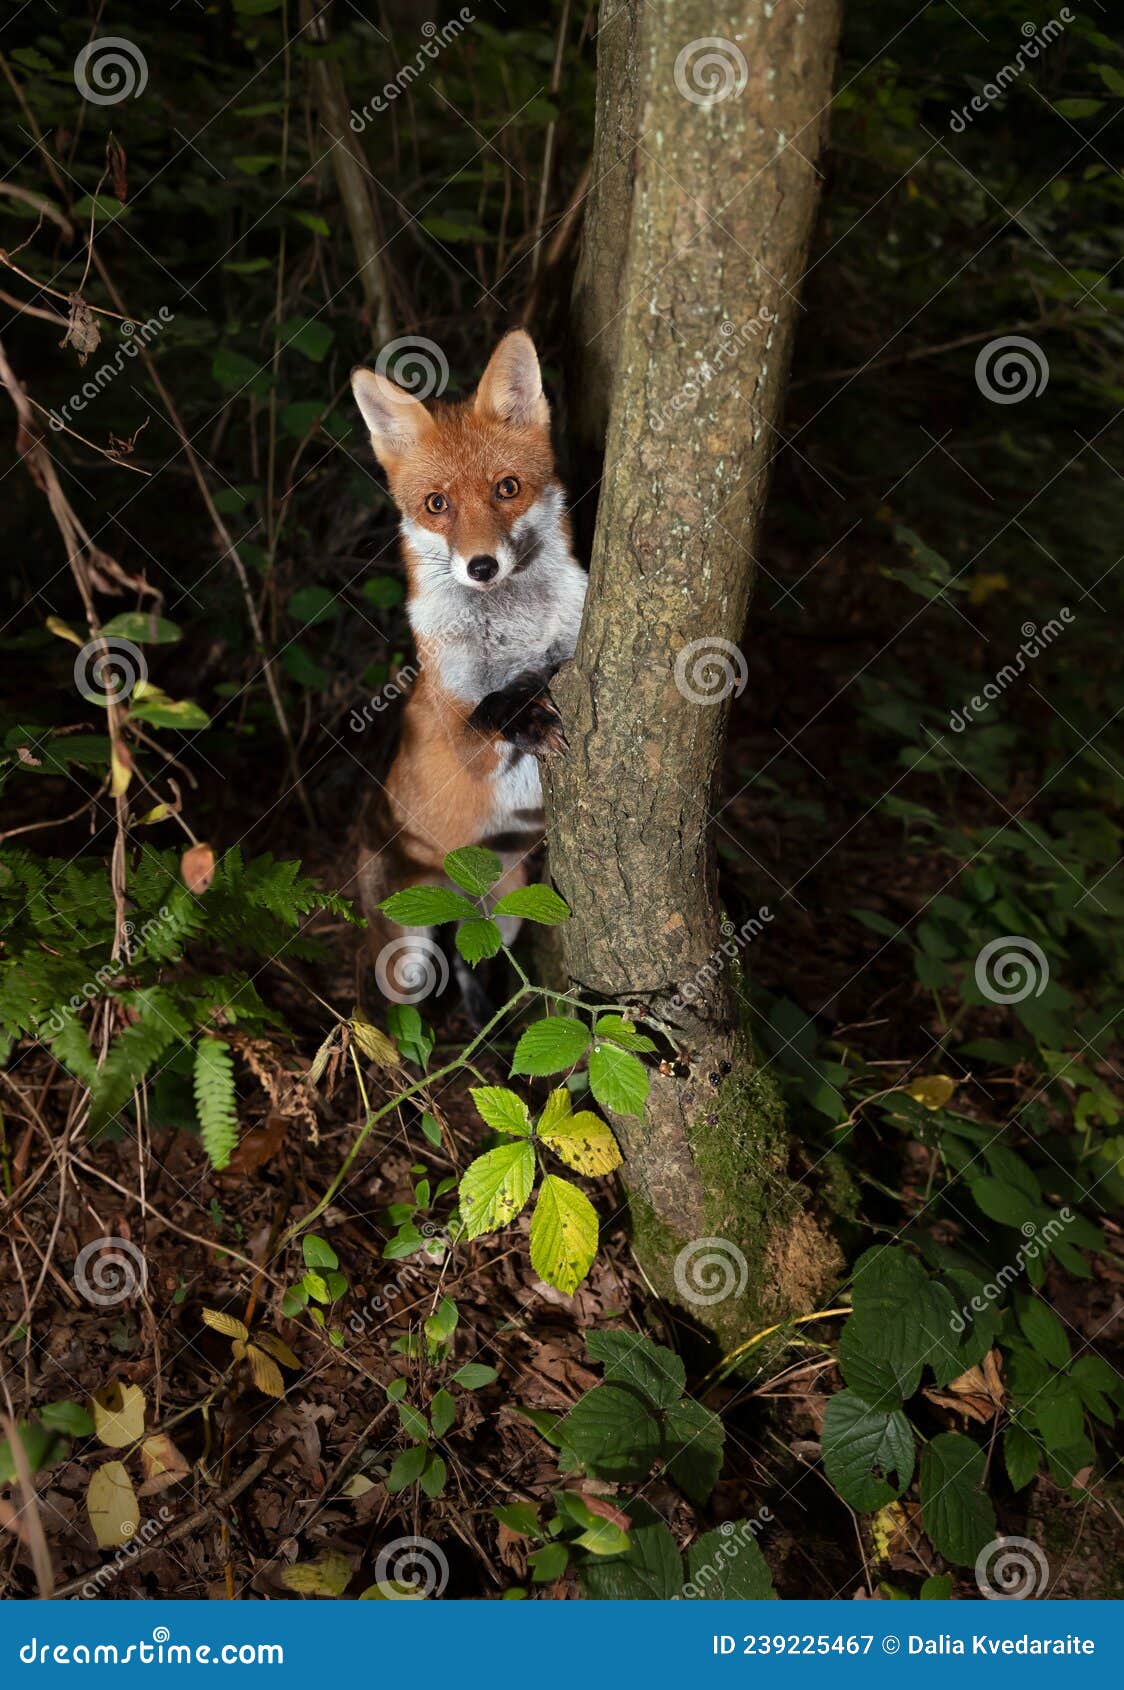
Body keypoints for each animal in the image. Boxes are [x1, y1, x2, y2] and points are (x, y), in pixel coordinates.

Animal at [349, 331, 586, 1019]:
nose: (482, 566)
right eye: (437, 505)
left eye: (507, 488)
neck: (511, 632)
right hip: (406, 959)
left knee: (471, 952)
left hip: (504, 911)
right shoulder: (459, 728)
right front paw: (526, 711)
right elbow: (489, 712)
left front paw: (540, 680)